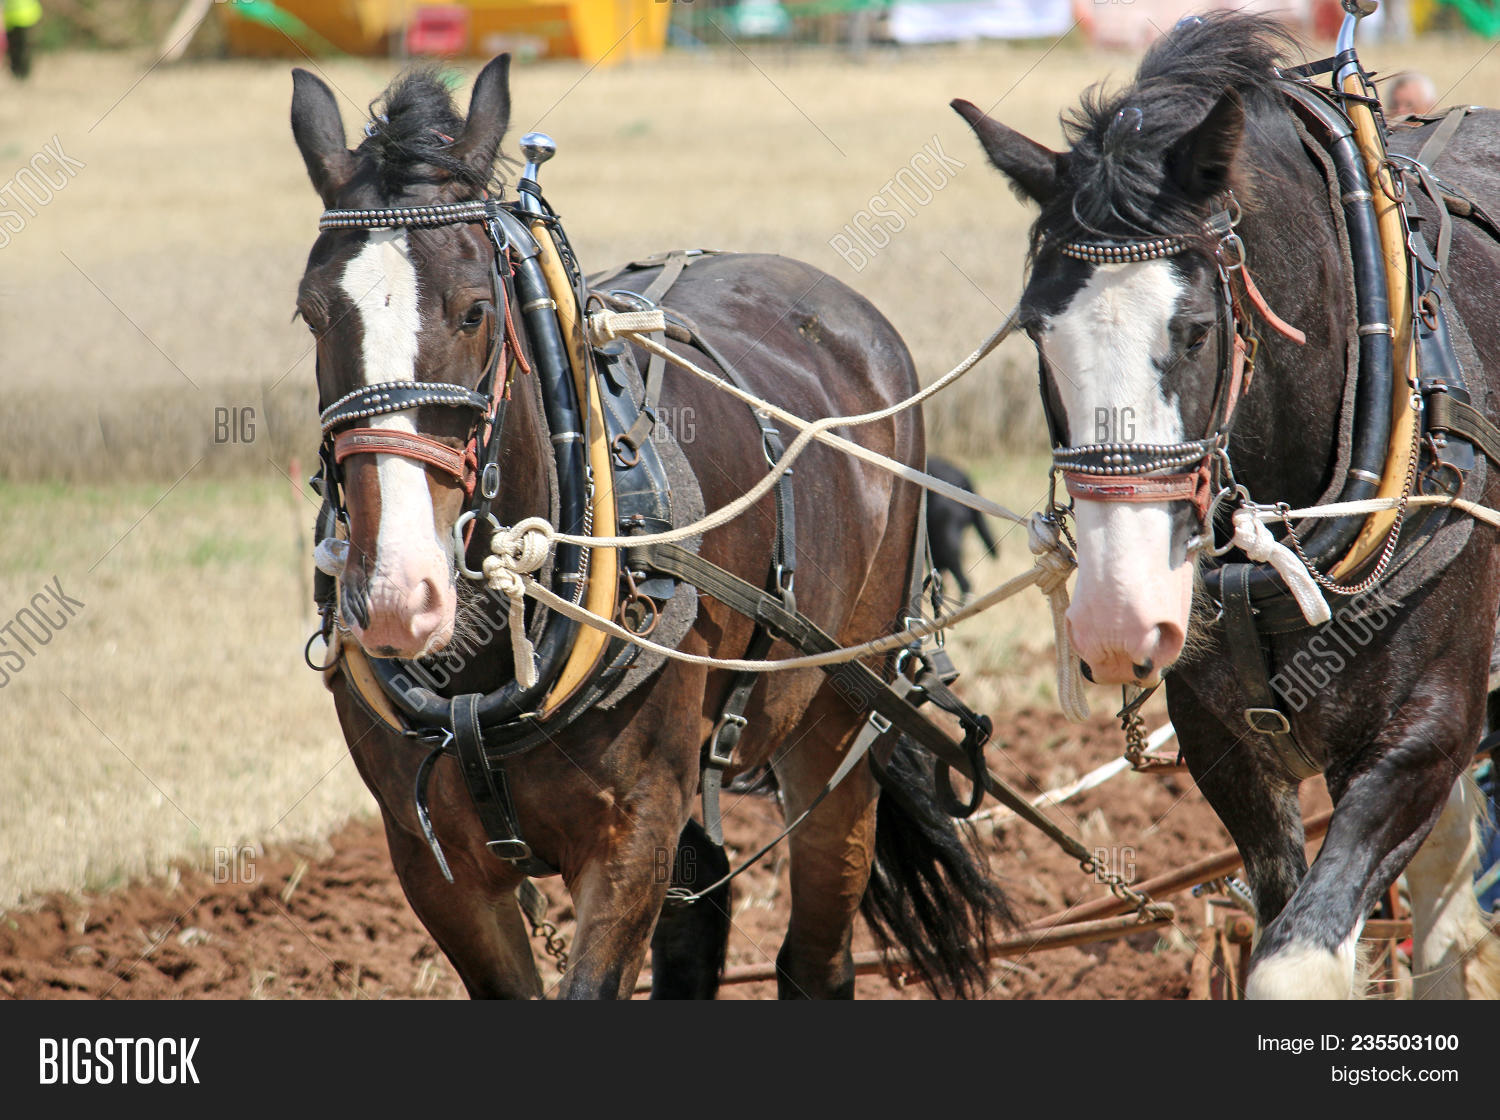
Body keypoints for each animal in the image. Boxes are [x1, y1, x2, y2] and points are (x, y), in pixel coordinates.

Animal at [290, 55, 1007, 999]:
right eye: (311, 313)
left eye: (476, 308)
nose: (397, 595)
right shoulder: (432, 861)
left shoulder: (632, 835)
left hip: (839, 723)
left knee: (817, 954)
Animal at [954, 11, 1500, 997]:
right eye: (1035, 332)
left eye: (1197, 329)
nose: (1117, 621)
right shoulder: (1225, 745)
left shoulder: (1430, 730)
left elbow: (1296, 962)